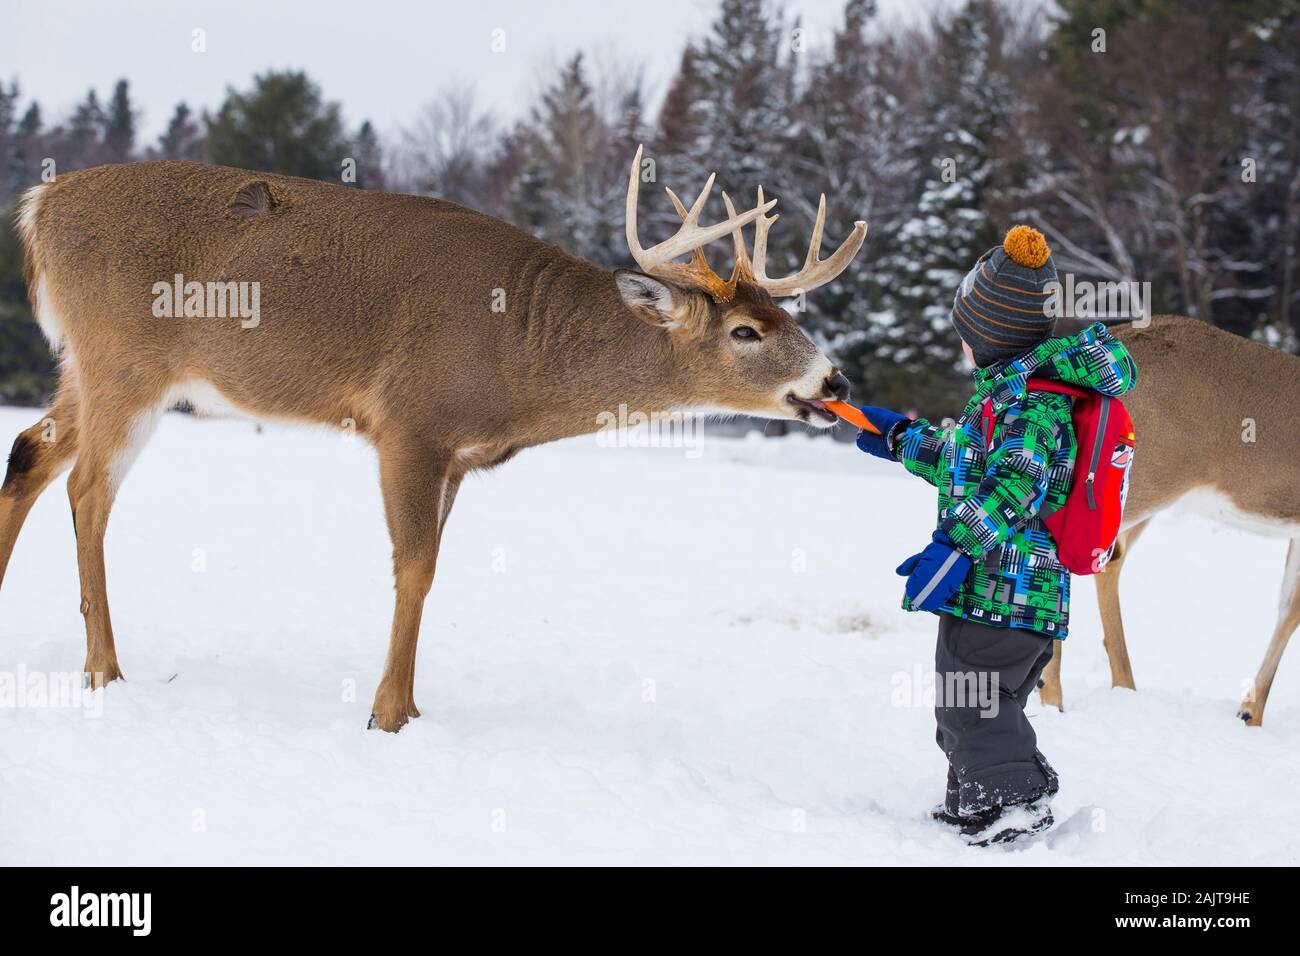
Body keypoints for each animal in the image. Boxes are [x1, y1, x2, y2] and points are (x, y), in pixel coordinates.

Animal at [0, 148, 867, 732]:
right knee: (88, 490)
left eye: (787, 316)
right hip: (123, 359)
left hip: (88, 367)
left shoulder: (458, 455)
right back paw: (105, 669)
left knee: (31, 454)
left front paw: (410, 707)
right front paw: (386, 714)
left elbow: (434, 568)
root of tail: (39, 205)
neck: (519, 355)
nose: (835, 382)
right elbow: (413, 568)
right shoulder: (407, 423)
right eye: (747, 330)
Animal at [1037, 315, 1300, 726]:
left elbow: (1288, 607)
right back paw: (1052, 696)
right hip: (1140, 475)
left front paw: (1249, 714)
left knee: (1104, 560)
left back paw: (1120, 688)